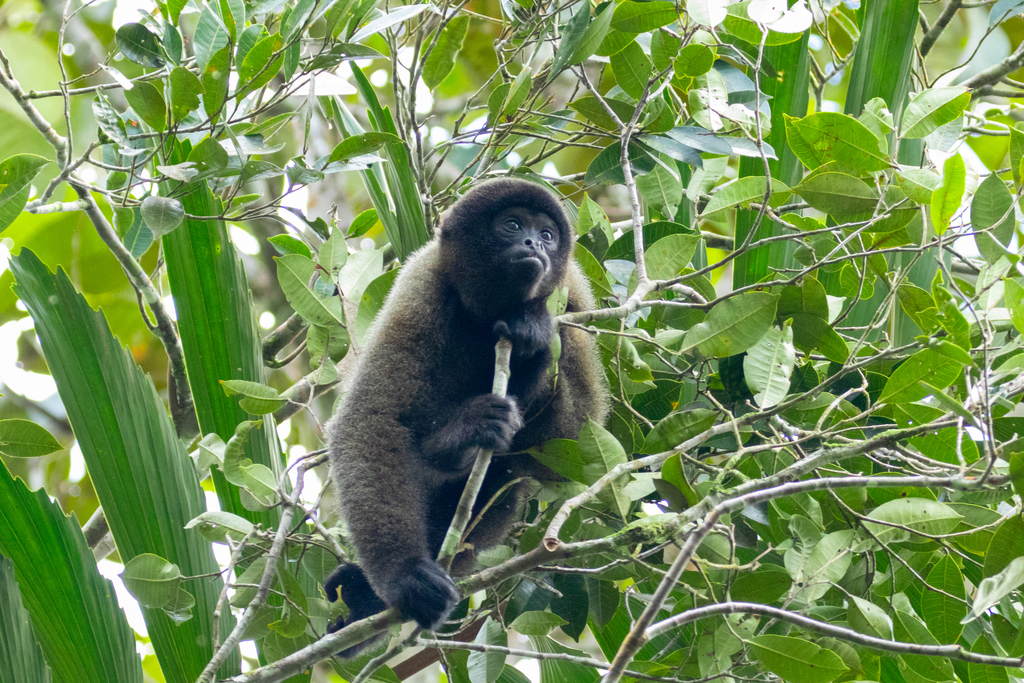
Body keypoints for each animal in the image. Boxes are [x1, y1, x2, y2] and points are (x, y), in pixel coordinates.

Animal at [322, 177, 609, 656]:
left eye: (547, 234)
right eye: (512, 225)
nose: (534, 243)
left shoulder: (571, 301)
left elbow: (573, 446)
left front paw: (530, 332)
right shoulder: (421, 285)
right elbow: (373, 417)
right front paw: (406, 578)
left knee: (506, 475)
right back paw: (457, 440)